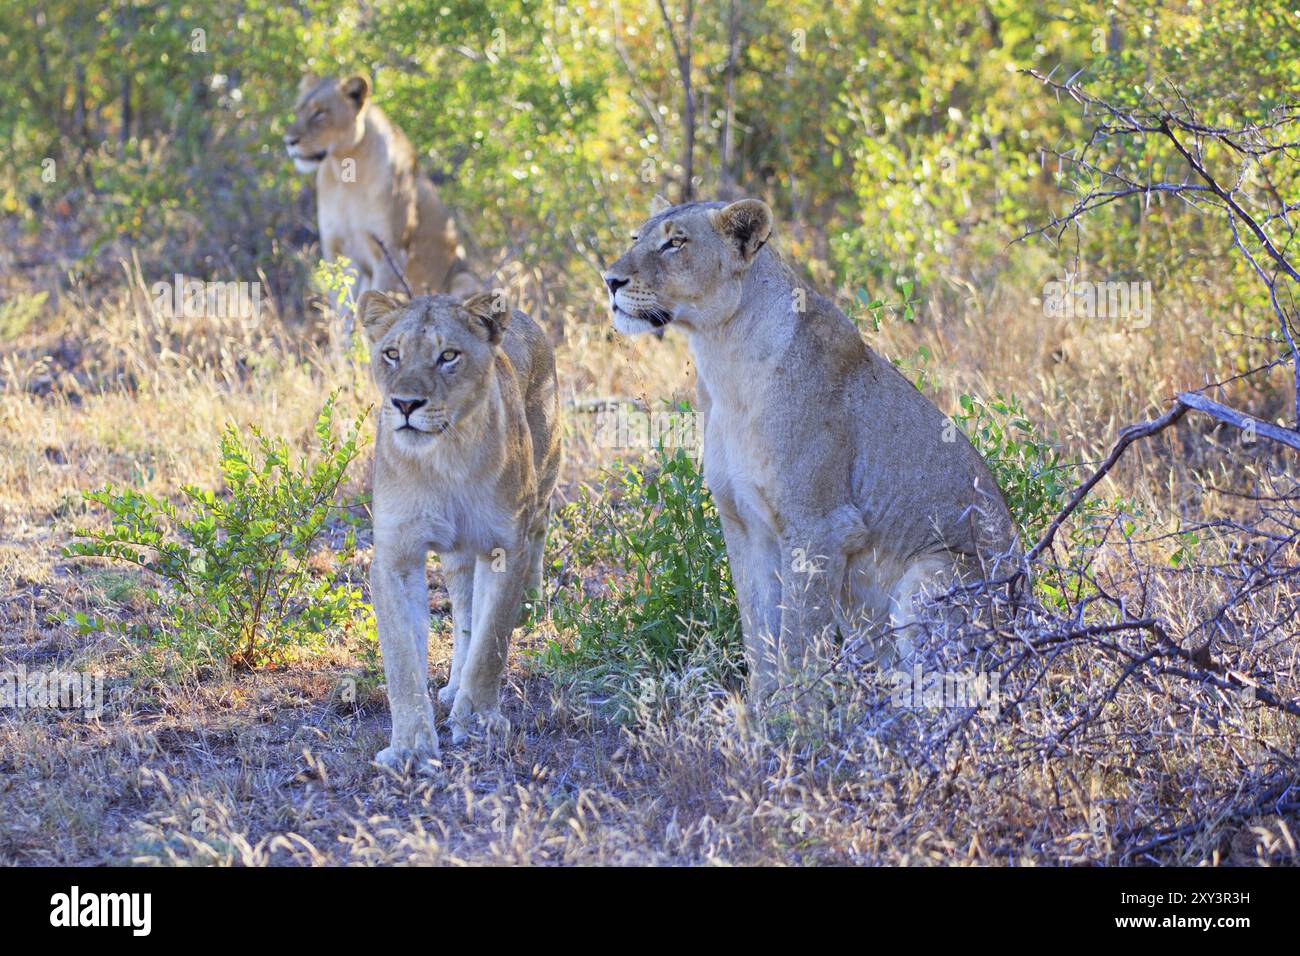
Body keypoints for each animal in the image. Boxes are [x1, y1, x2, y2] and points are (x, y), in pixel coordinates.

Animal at [284, 75, 481, 324]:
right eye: (298, 111)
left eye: (320, 113)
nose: (289, 141)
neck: (346, 174)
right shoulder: (338, 253)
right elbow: (342, 317)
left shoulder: (390, 253)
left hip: (465, 278)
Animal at [358, 289, 560, 765]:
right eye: (391, 354)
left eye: (448, 356)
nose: (405, 404)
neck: (445, 458)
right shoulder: (396, 558)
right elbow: (401, 660)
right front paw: (410, 745)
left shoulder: (505, 547)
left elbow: (492, 643)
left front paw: (479, 721)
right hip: (457, 557)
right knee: (465, 612)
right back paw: (452, 687)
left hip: (546, 470)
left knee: (540, 528)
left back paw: (531, 599)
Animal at [604, 196, 1018, 701]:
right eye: (636, 238)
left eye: (675, 242)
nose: (610, 280)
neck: (722, 358)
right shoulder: (742, 522)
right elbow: (758, 628)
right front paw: (760, 708)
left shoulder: (819, 525)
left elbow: (798, 637)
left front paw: (795, 712)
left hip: (931, 577)